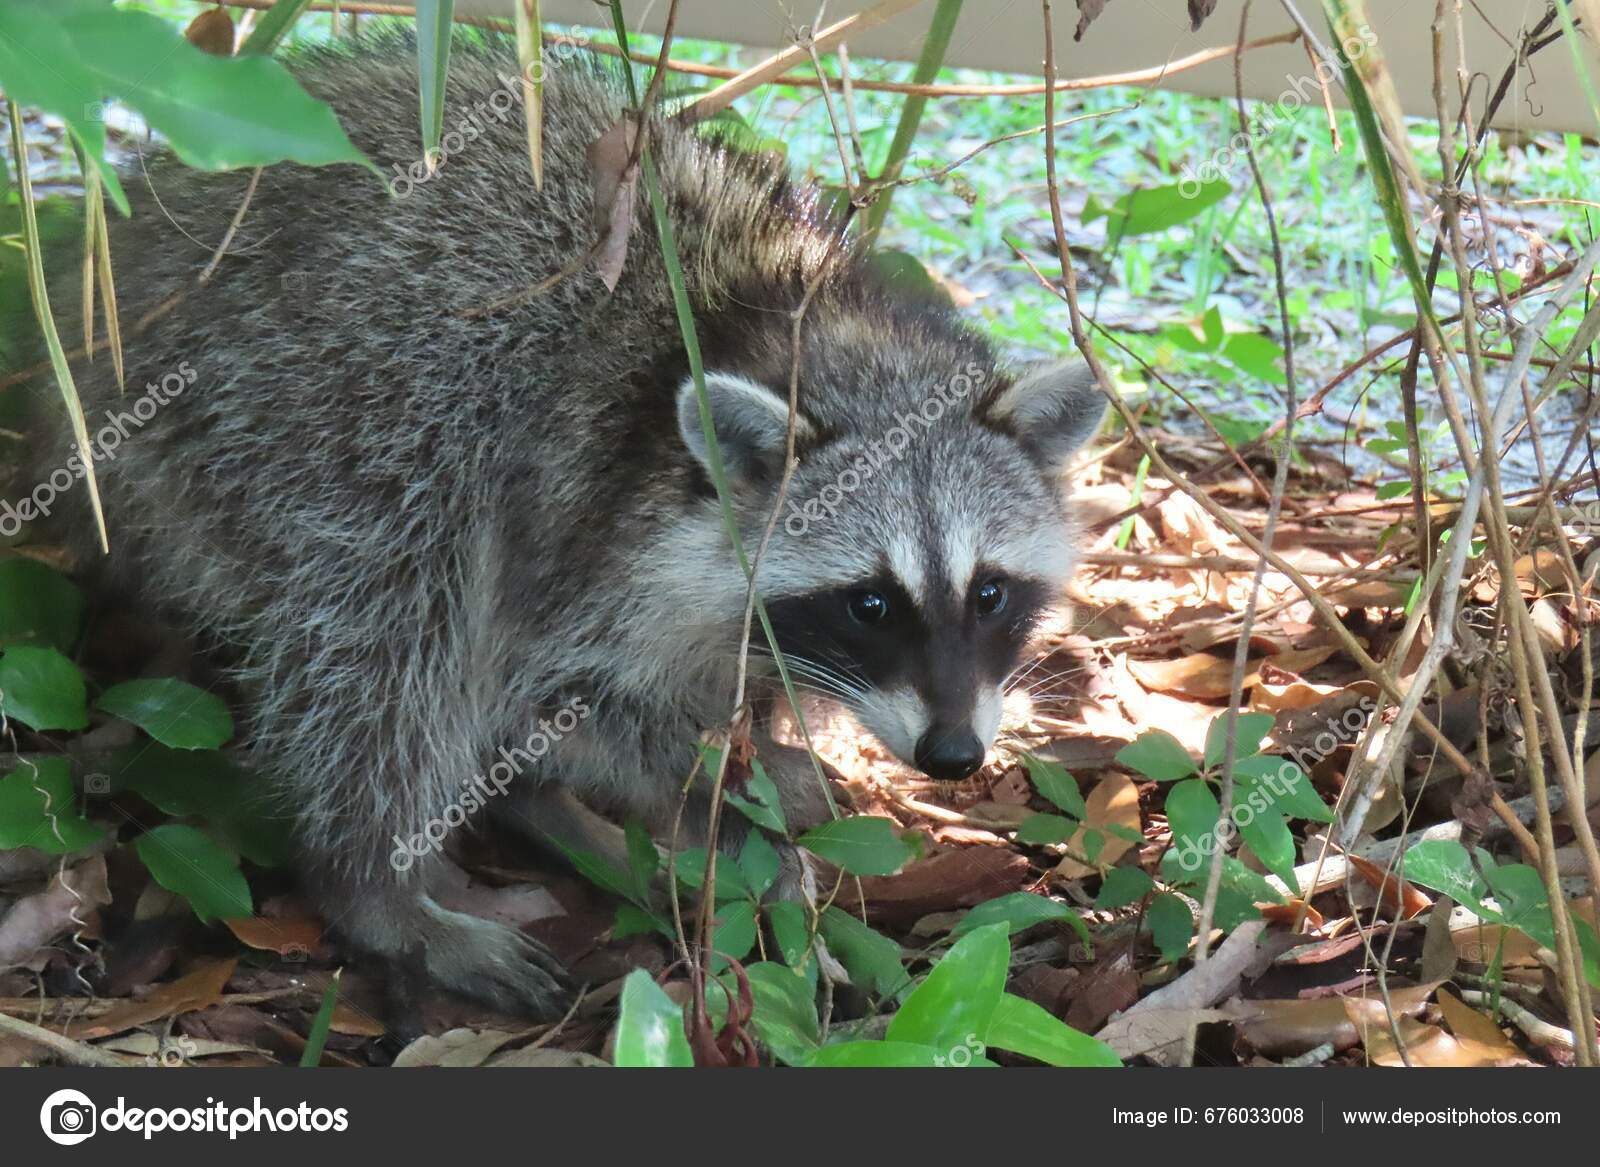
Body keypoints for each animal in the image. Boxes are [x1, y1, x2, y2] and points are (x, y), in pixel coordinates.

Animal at [39, 33, 1104, 1017]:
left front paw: (754, 743)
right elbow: (535, 700)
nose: (954, 756)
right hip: (304, 410)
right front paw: (691, 785)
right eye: (872, 603)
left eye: (991, 592)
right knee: (387, 628)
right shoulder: (575, 505)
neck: (789, 323)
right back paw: (376, 880)